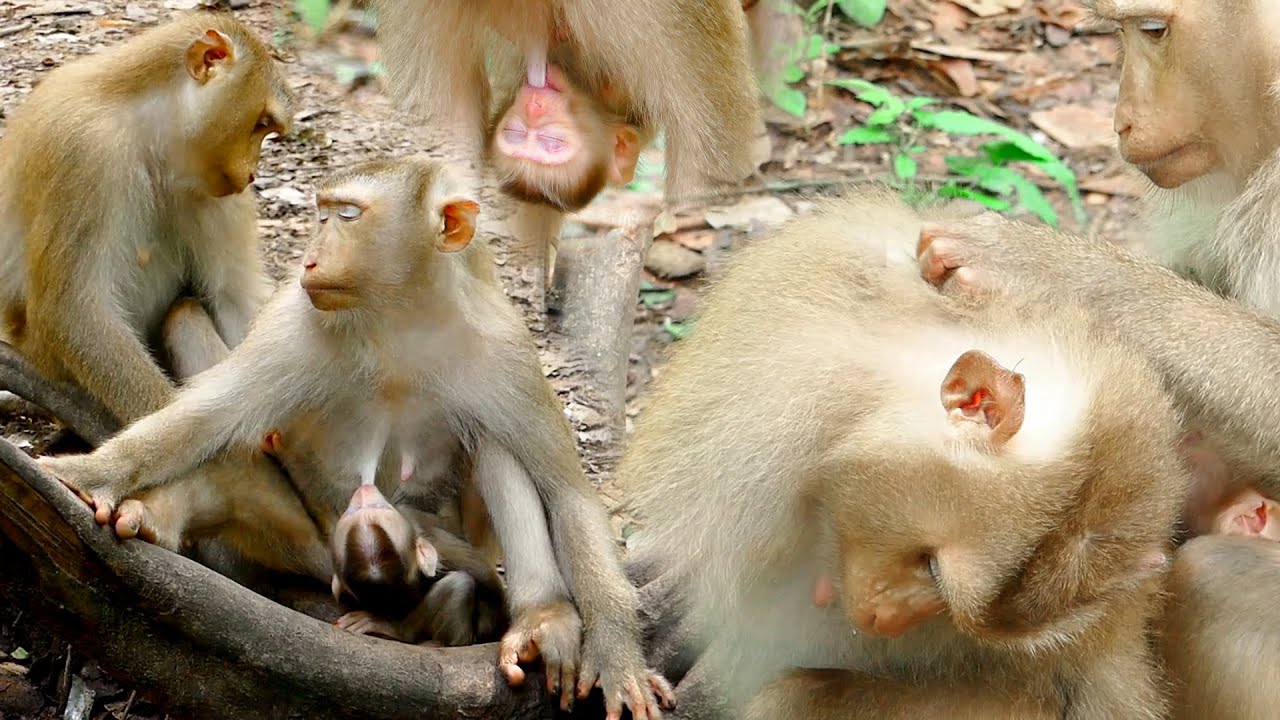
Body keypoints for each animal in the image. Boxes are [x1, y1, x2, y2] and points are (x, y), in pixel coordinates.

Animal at [0, 11, 290, 426]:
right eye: (260, 124)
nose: (250, 173)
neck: (147, 125)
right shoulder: (85, 150)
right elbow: (76, 313)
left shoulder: (214, 188)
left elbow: (231, 298)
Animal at [39, 158, 675, 720]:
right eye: (321, 213)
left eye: (347, 215)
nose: (312, 257)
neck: (398, 319)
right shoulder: (293, 323)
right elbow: (207, 419)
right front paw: (90, 473)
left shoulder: (507, 349)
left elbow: (567, 493)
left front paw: (616, 657)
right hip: (316, 549)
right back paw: (154, 519)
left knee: (495, 445)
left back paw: (540, 617)